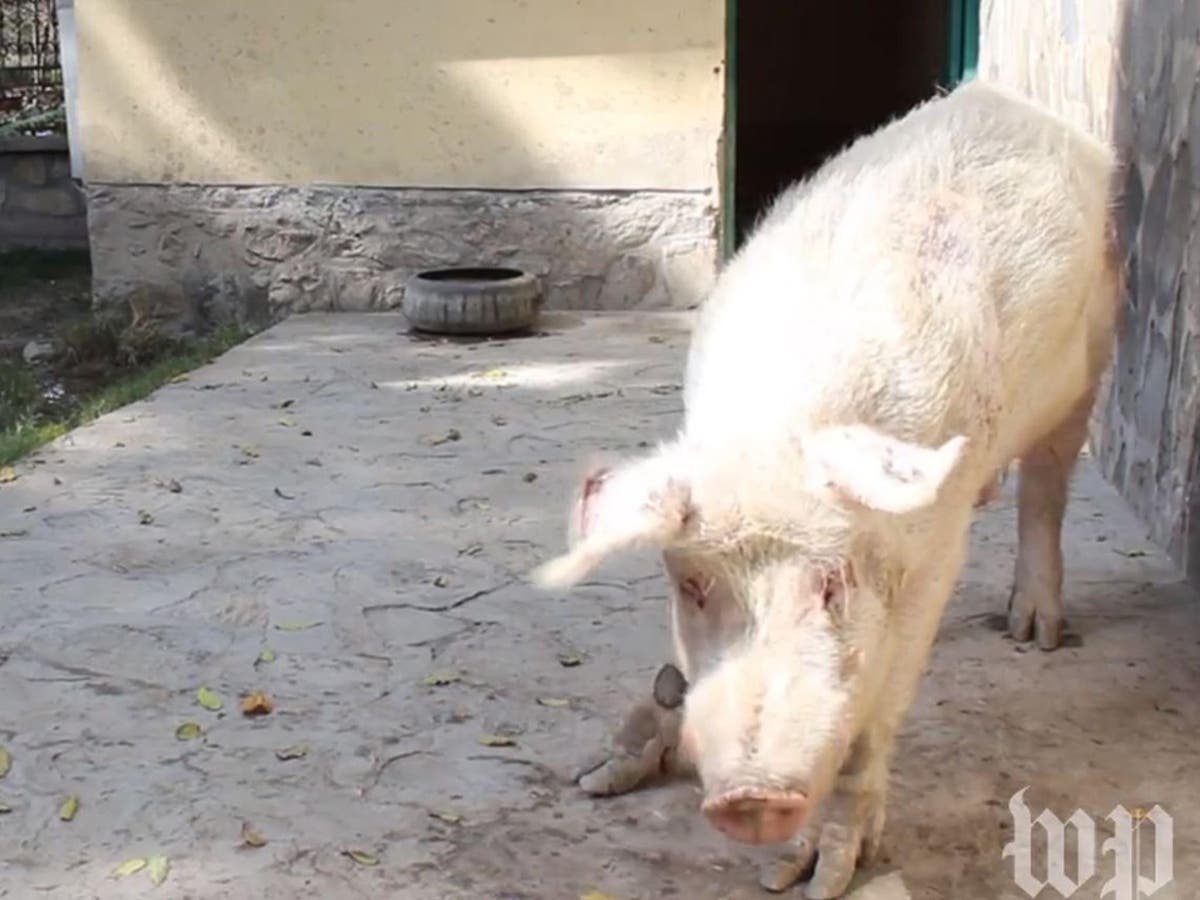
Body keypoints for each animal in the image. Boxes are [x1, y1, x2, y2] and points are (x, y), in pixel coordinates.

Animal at [532, 78, 1121, 899]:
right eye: (694, 587)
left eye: (833, 583)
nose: (750, 796)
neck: (775, 433)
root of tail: (1003, 98)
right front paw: (596, 776)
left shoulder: (932, 553)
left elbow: (882, 701)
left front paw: (811, 877)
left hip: (1090, 354)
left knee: (1048, 484)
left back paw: (1034, 632)